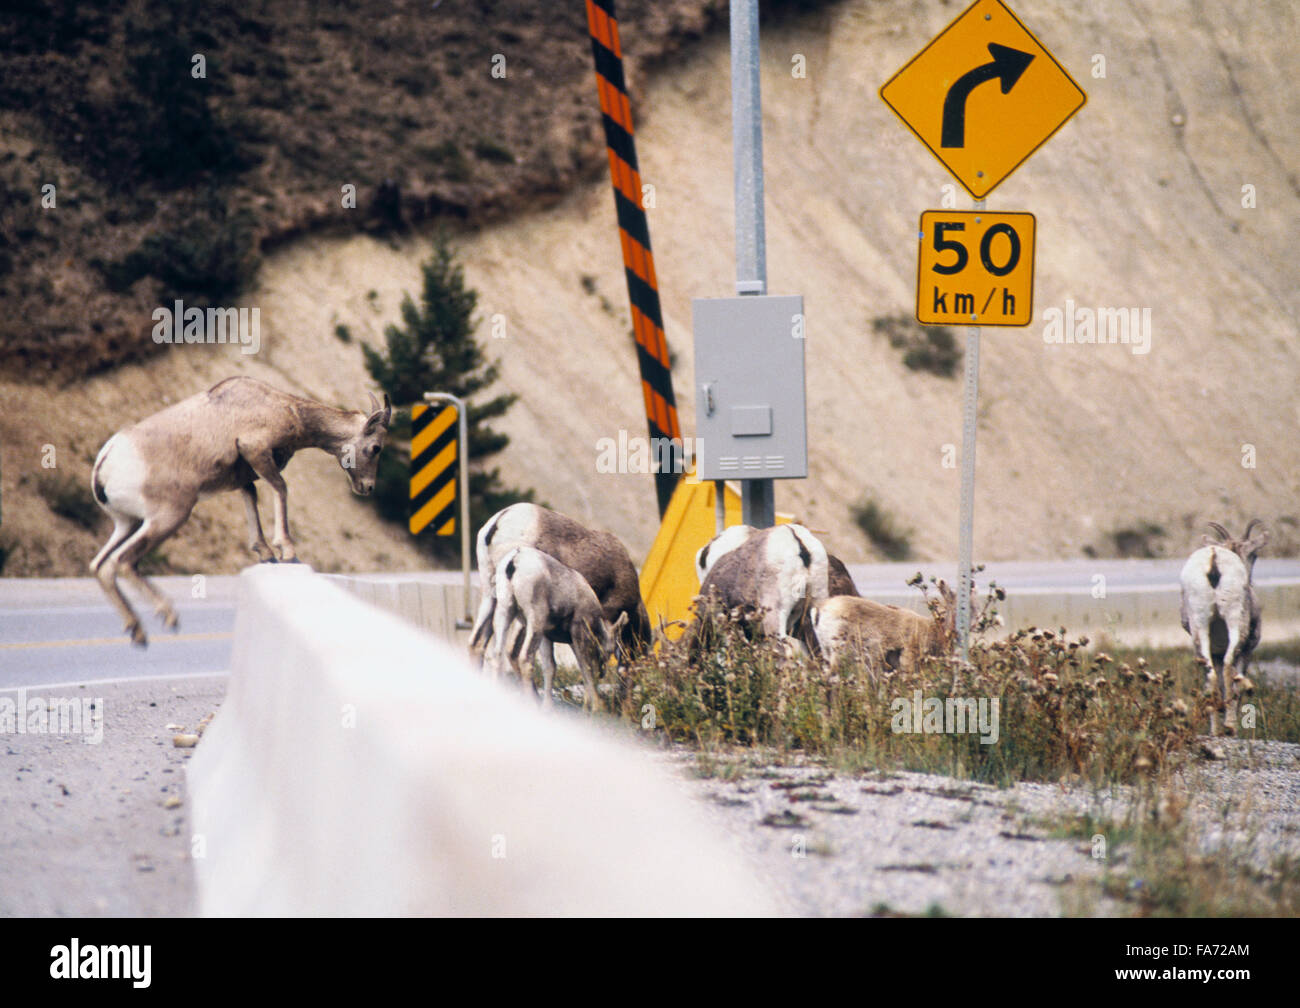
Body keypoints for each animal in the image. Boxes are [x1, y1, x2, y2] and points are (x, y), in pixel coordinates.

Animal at [90, 376, 391, 645]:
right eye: (376, 447)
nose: (367, 487)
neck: (286, 407)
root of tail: (106, 463)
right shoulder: (255, 449)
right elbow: (281, 489)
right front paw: (287, 552)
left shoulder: (244, 476)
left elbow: (252, 497)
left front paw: (266, 554)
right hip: (167, 518)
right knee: (123, 562)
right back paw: (169, 617)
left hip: (128, 523)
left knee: (101, 566)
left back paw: (138, 632)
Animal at [486, 547, 628, 712]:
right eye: (609, 651)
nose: (602, 673)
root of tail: (514, 561)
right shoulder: (579, 634)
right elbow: (586, 668)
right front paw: (597, 708)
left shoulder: (546, 638)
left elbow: (550, 668)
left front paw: (548, 707)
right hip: (535, 620)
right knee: (525, 658)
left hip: (505, 611)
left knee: (497, 654)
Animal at [1179, 520, 1268, 736]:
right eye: (1254, 554)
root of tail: (1214, 559)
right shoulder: (1246, 651)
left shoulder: (1215, 653)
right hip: (1234, 620)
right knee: (1230, 671)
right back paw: (1229, 727)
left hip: (1200, 626)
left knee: (1210, 675)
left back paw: (1216, 728)